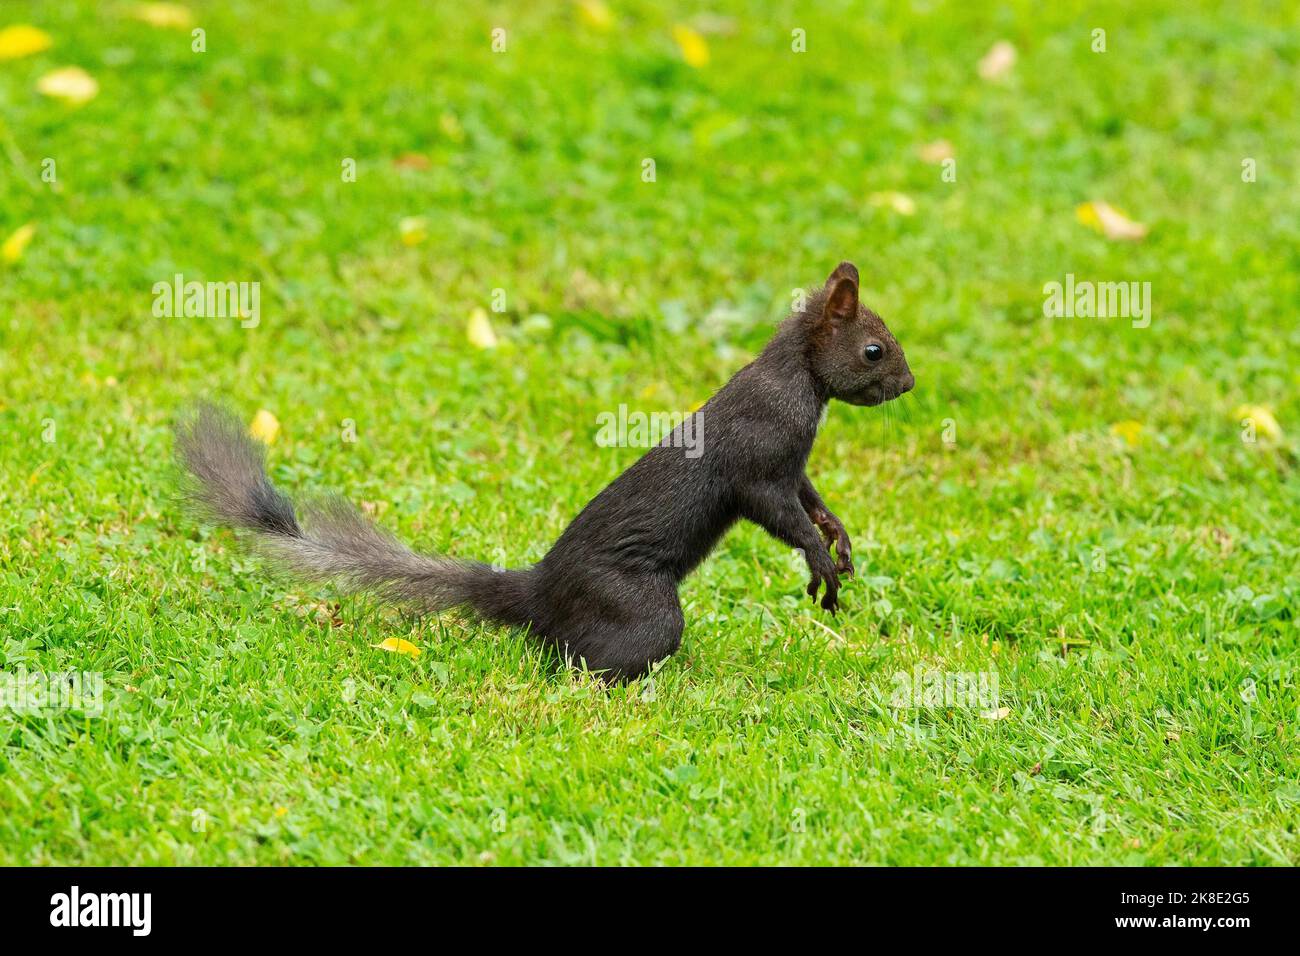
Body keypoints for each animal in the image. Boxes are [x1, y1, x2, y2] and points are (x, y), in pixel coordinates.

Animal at [175, 261, 914, 681]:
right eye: (874, 350)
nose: (908, 385)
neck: (799, 379)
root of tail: (538, 591)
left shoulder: (793, 468)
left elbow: (811, 500)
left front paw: (838, 539)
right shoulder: (759, 463)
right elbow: (780, 514)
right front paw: (820, 562)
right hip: (642, 611)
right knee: (575, 658)